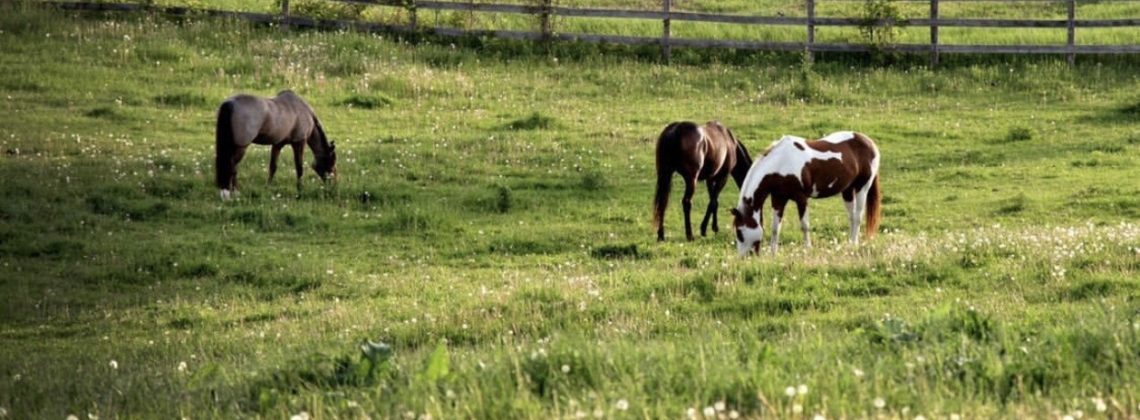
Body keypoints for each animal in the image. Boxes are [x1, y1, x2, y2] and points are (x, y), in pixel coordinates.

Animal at [730, 131, 881, 255]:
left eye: (739, 232)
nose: (744, 257)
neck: (781, 162)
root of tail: (870, 143)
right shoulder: (778, 199)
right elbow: (775, 228)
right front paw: (773, 253)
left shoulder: (801, 198)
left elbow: (805, 226)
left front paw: (807, 249)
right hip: (847, 191)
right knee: (851, 217)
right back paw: (850, 243)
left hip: (862, 188)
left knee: (857, 216)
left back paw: (854, 244)